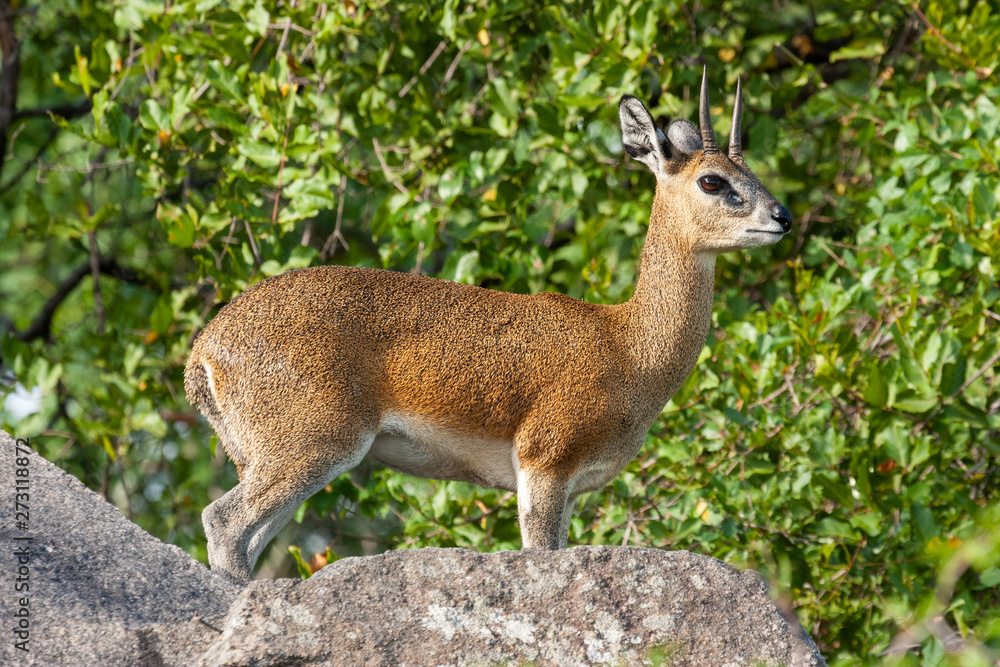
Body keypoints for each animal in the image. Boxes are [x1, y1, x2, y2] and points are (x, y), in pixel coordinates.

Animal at [184, 68, 792, 585]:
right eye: (712, 181)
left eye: (753, 173)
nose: (782, 217)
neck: (630, 348)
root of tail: (204, 352)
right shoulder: (544, 460)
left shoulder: (573, 487)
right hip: (316, 441)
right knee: (222, 522)